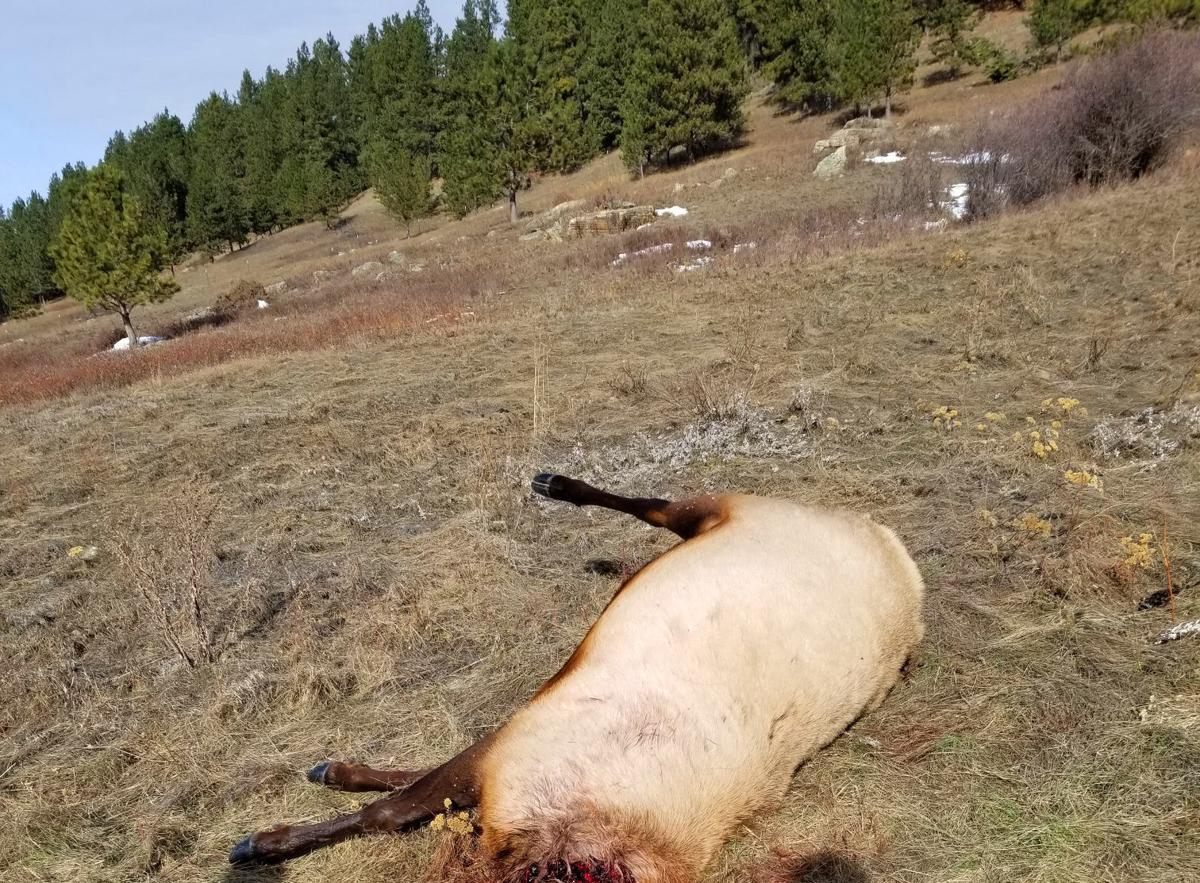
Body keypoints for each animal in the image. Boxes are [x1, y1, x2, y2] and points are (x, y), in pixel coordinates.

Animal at [230, 473, 925, 882]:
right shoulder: (514, 742)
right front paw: (271, 834)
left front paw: (273, 833)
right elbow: (401, 800)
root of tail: (890, 543)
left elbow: (400, 804)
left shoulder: (512, 751)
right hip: (727, 508)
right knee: (658, 504)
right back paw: (552, 484)